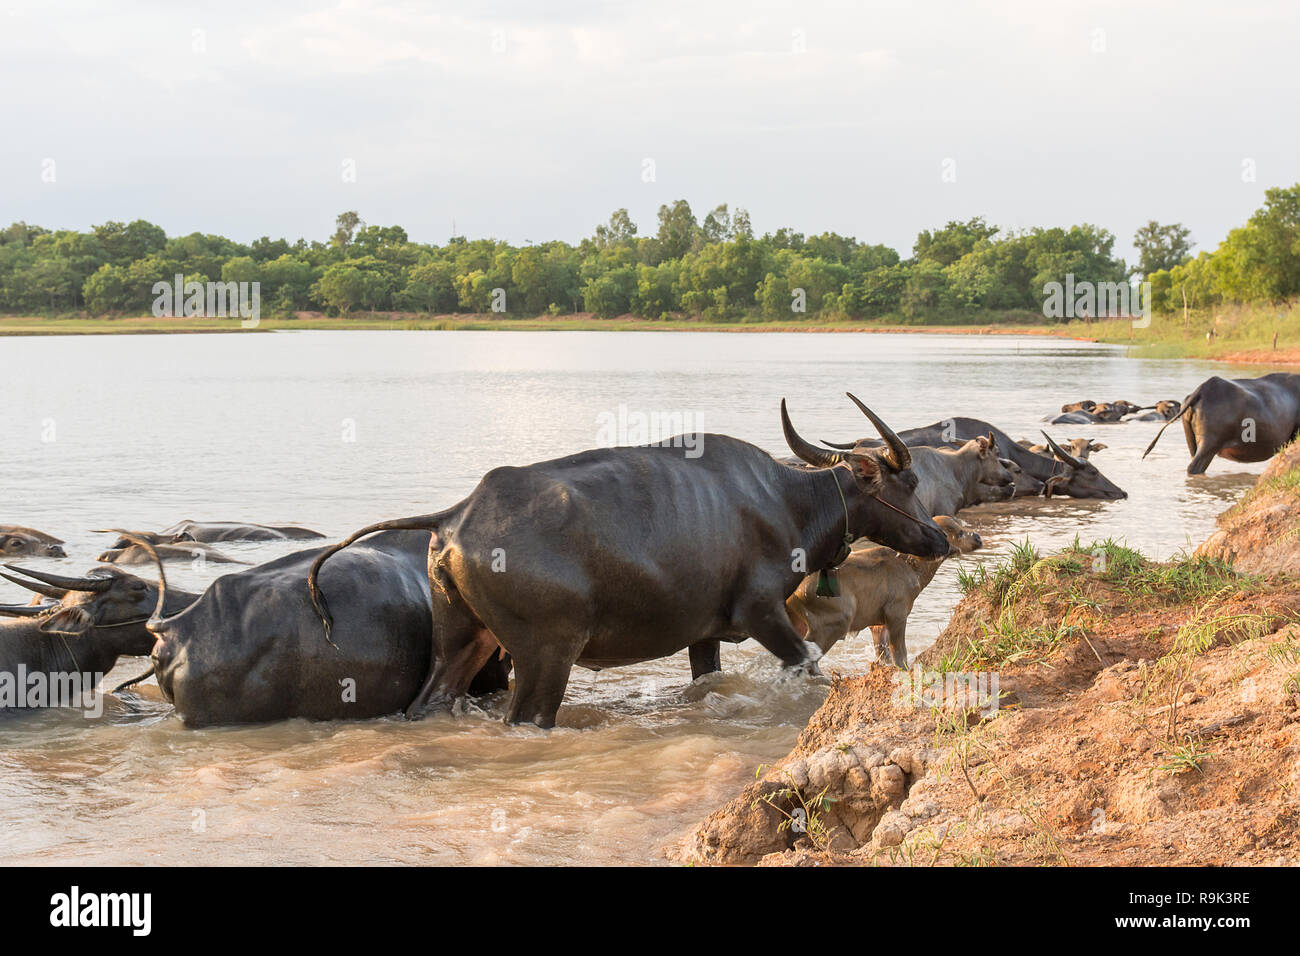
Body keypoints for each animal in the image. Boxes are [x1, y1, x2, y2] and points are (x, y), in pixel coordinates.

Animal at [307, 394, 951, 728]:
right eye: (910, 480)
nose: (940, 541)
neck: (788, 500)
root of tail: (454, 516)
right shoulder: (763, 615)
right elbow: (809, 664)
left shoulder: (704, 635)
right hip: (547, 654)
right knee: (528, 716)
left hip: (463, 641)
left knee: (432, 700)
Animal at [786, 515, 984, 666]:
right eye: (958, 532)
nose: (978, 537)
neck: (912, 567)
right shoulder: (896, 614)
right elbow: (900, 652)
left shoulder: (878, 624)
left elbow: (883, 653)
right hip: (834, 622)